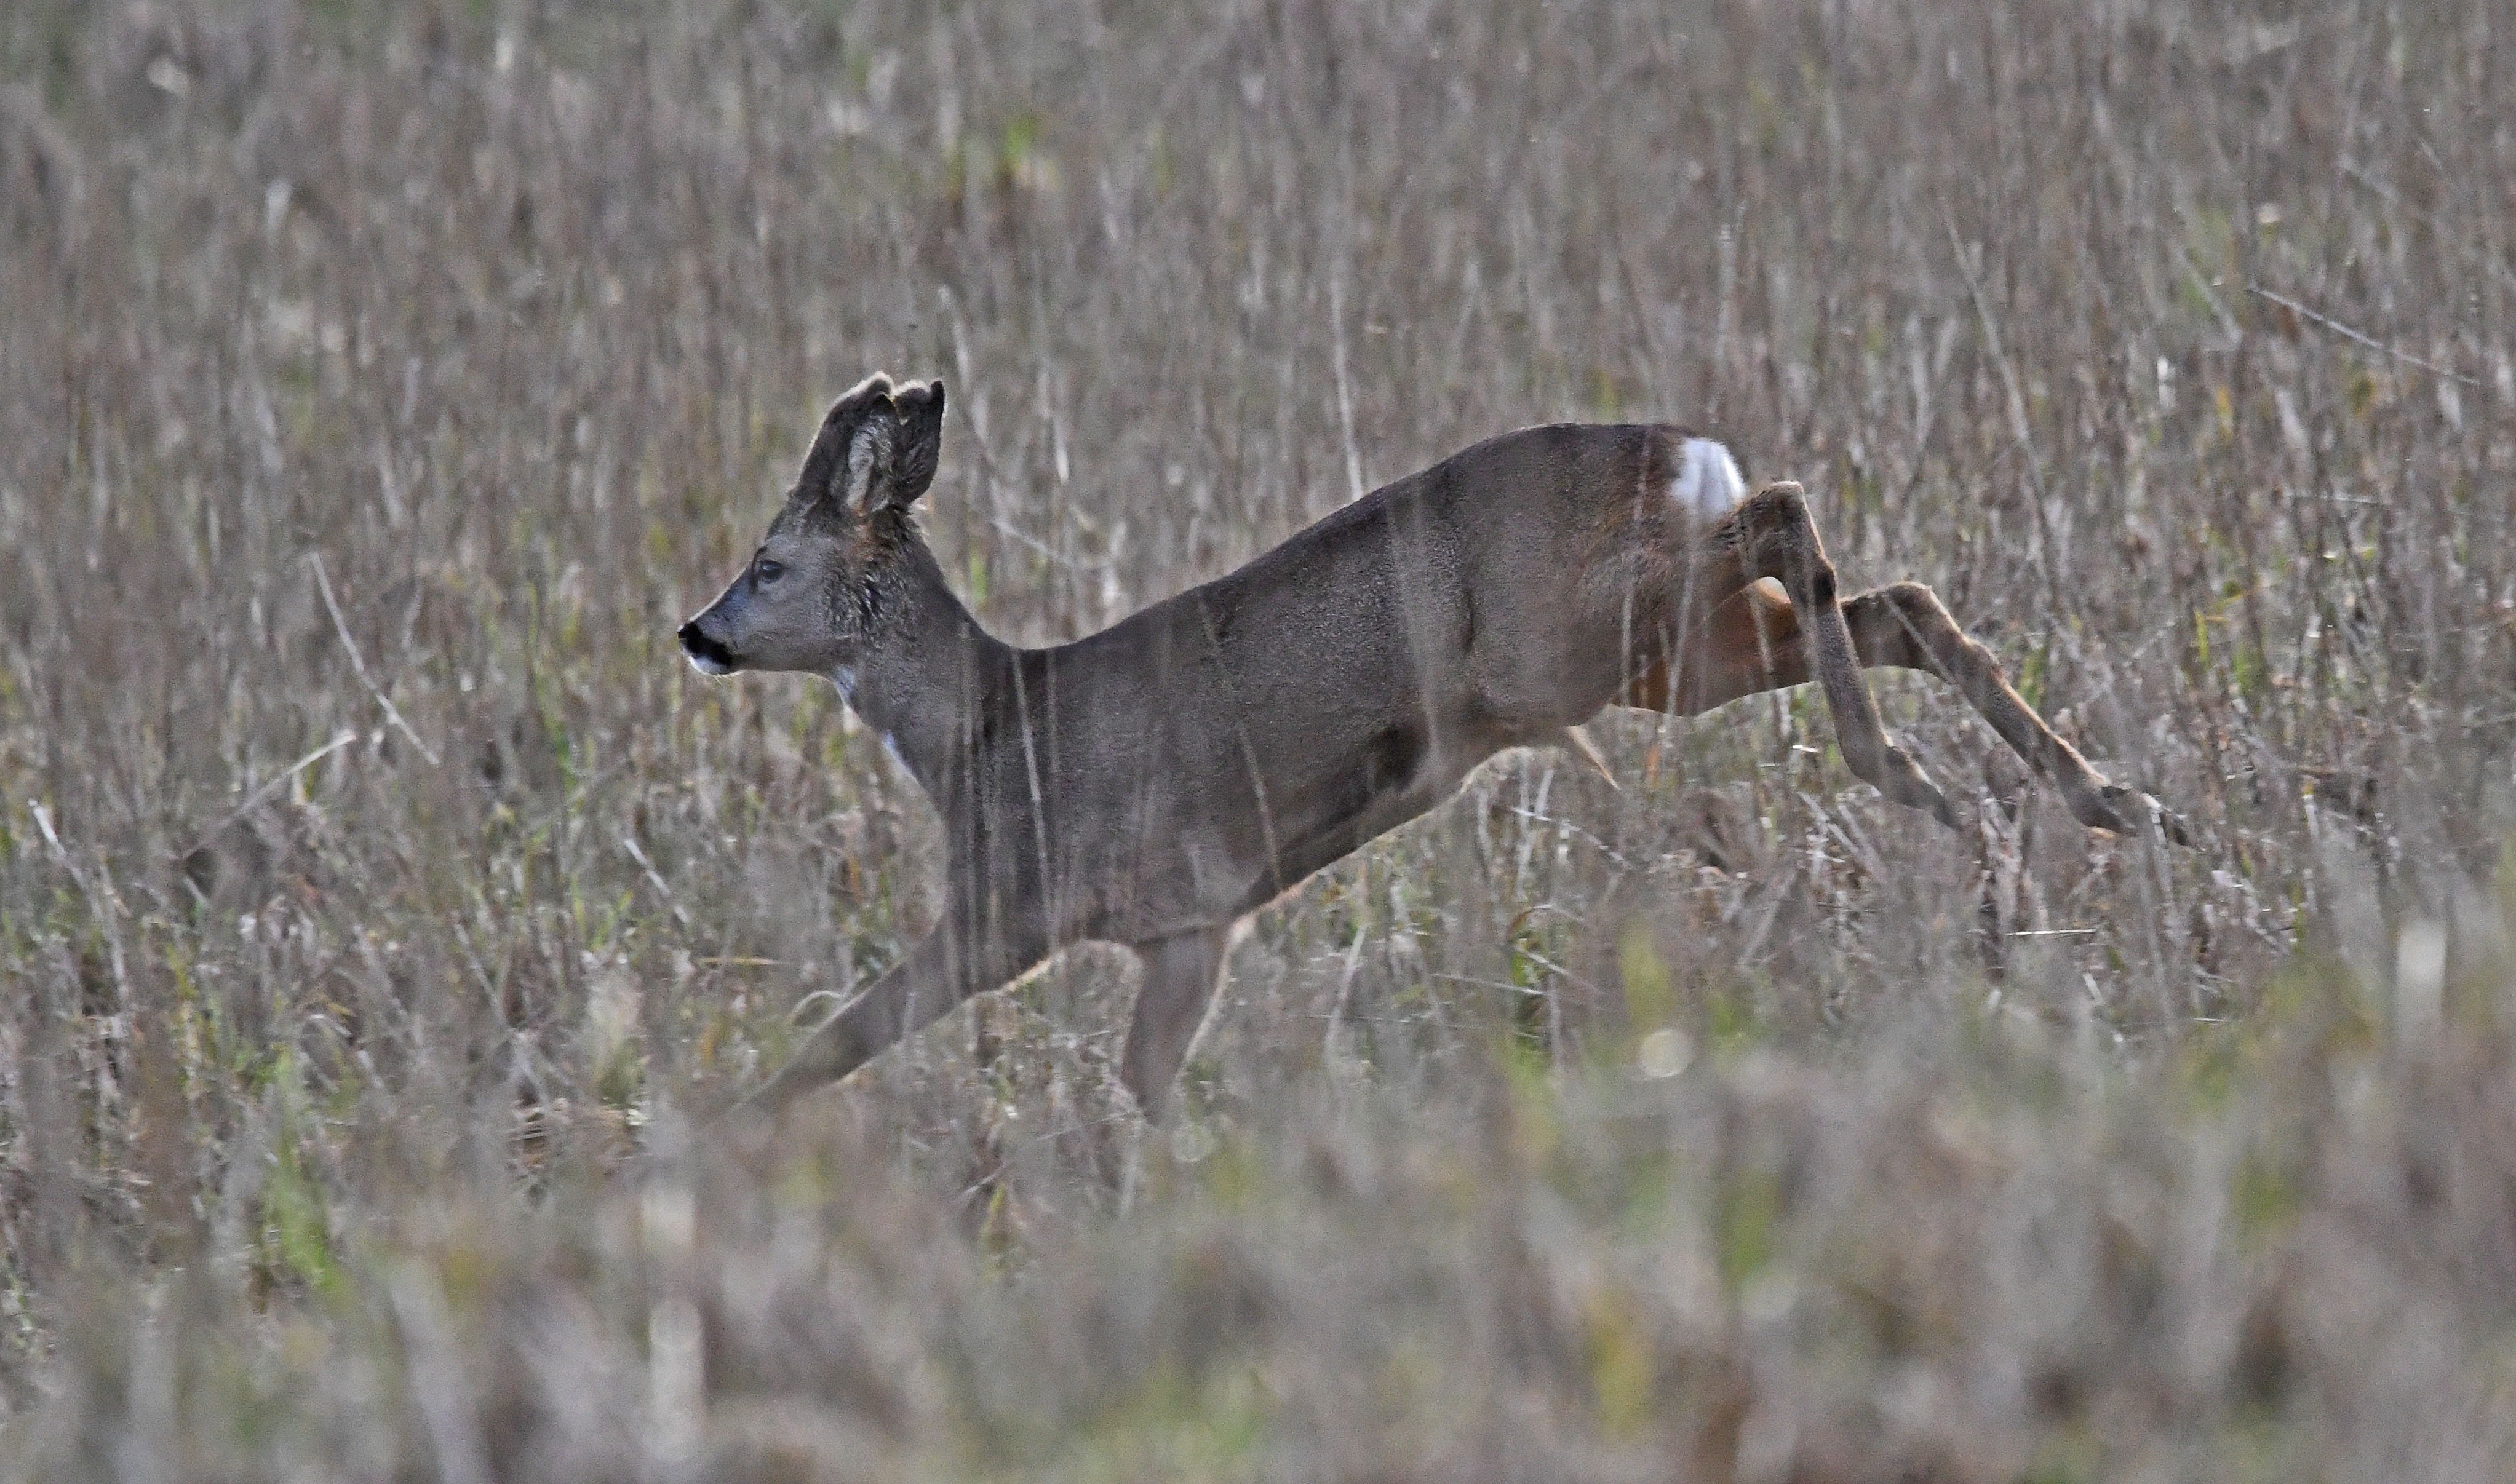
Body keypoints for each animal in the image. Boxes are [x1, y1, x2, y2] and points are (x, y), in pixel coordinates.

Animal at [679, 373, 2178, 1122]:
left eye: (769, 563)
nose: (697, 631)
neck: (987, 731)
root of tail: (1676, 446)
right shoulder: (1189, 926)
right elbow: (1139, 1088)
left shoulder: (1010, 906)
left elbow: (832, 1045)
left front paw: (700, 1152)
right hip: (1668, 659)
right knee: (1887, 596)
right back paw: (2082, 810)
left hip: (1567, 641)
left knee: (1794, 513)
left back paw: (1917, 780)